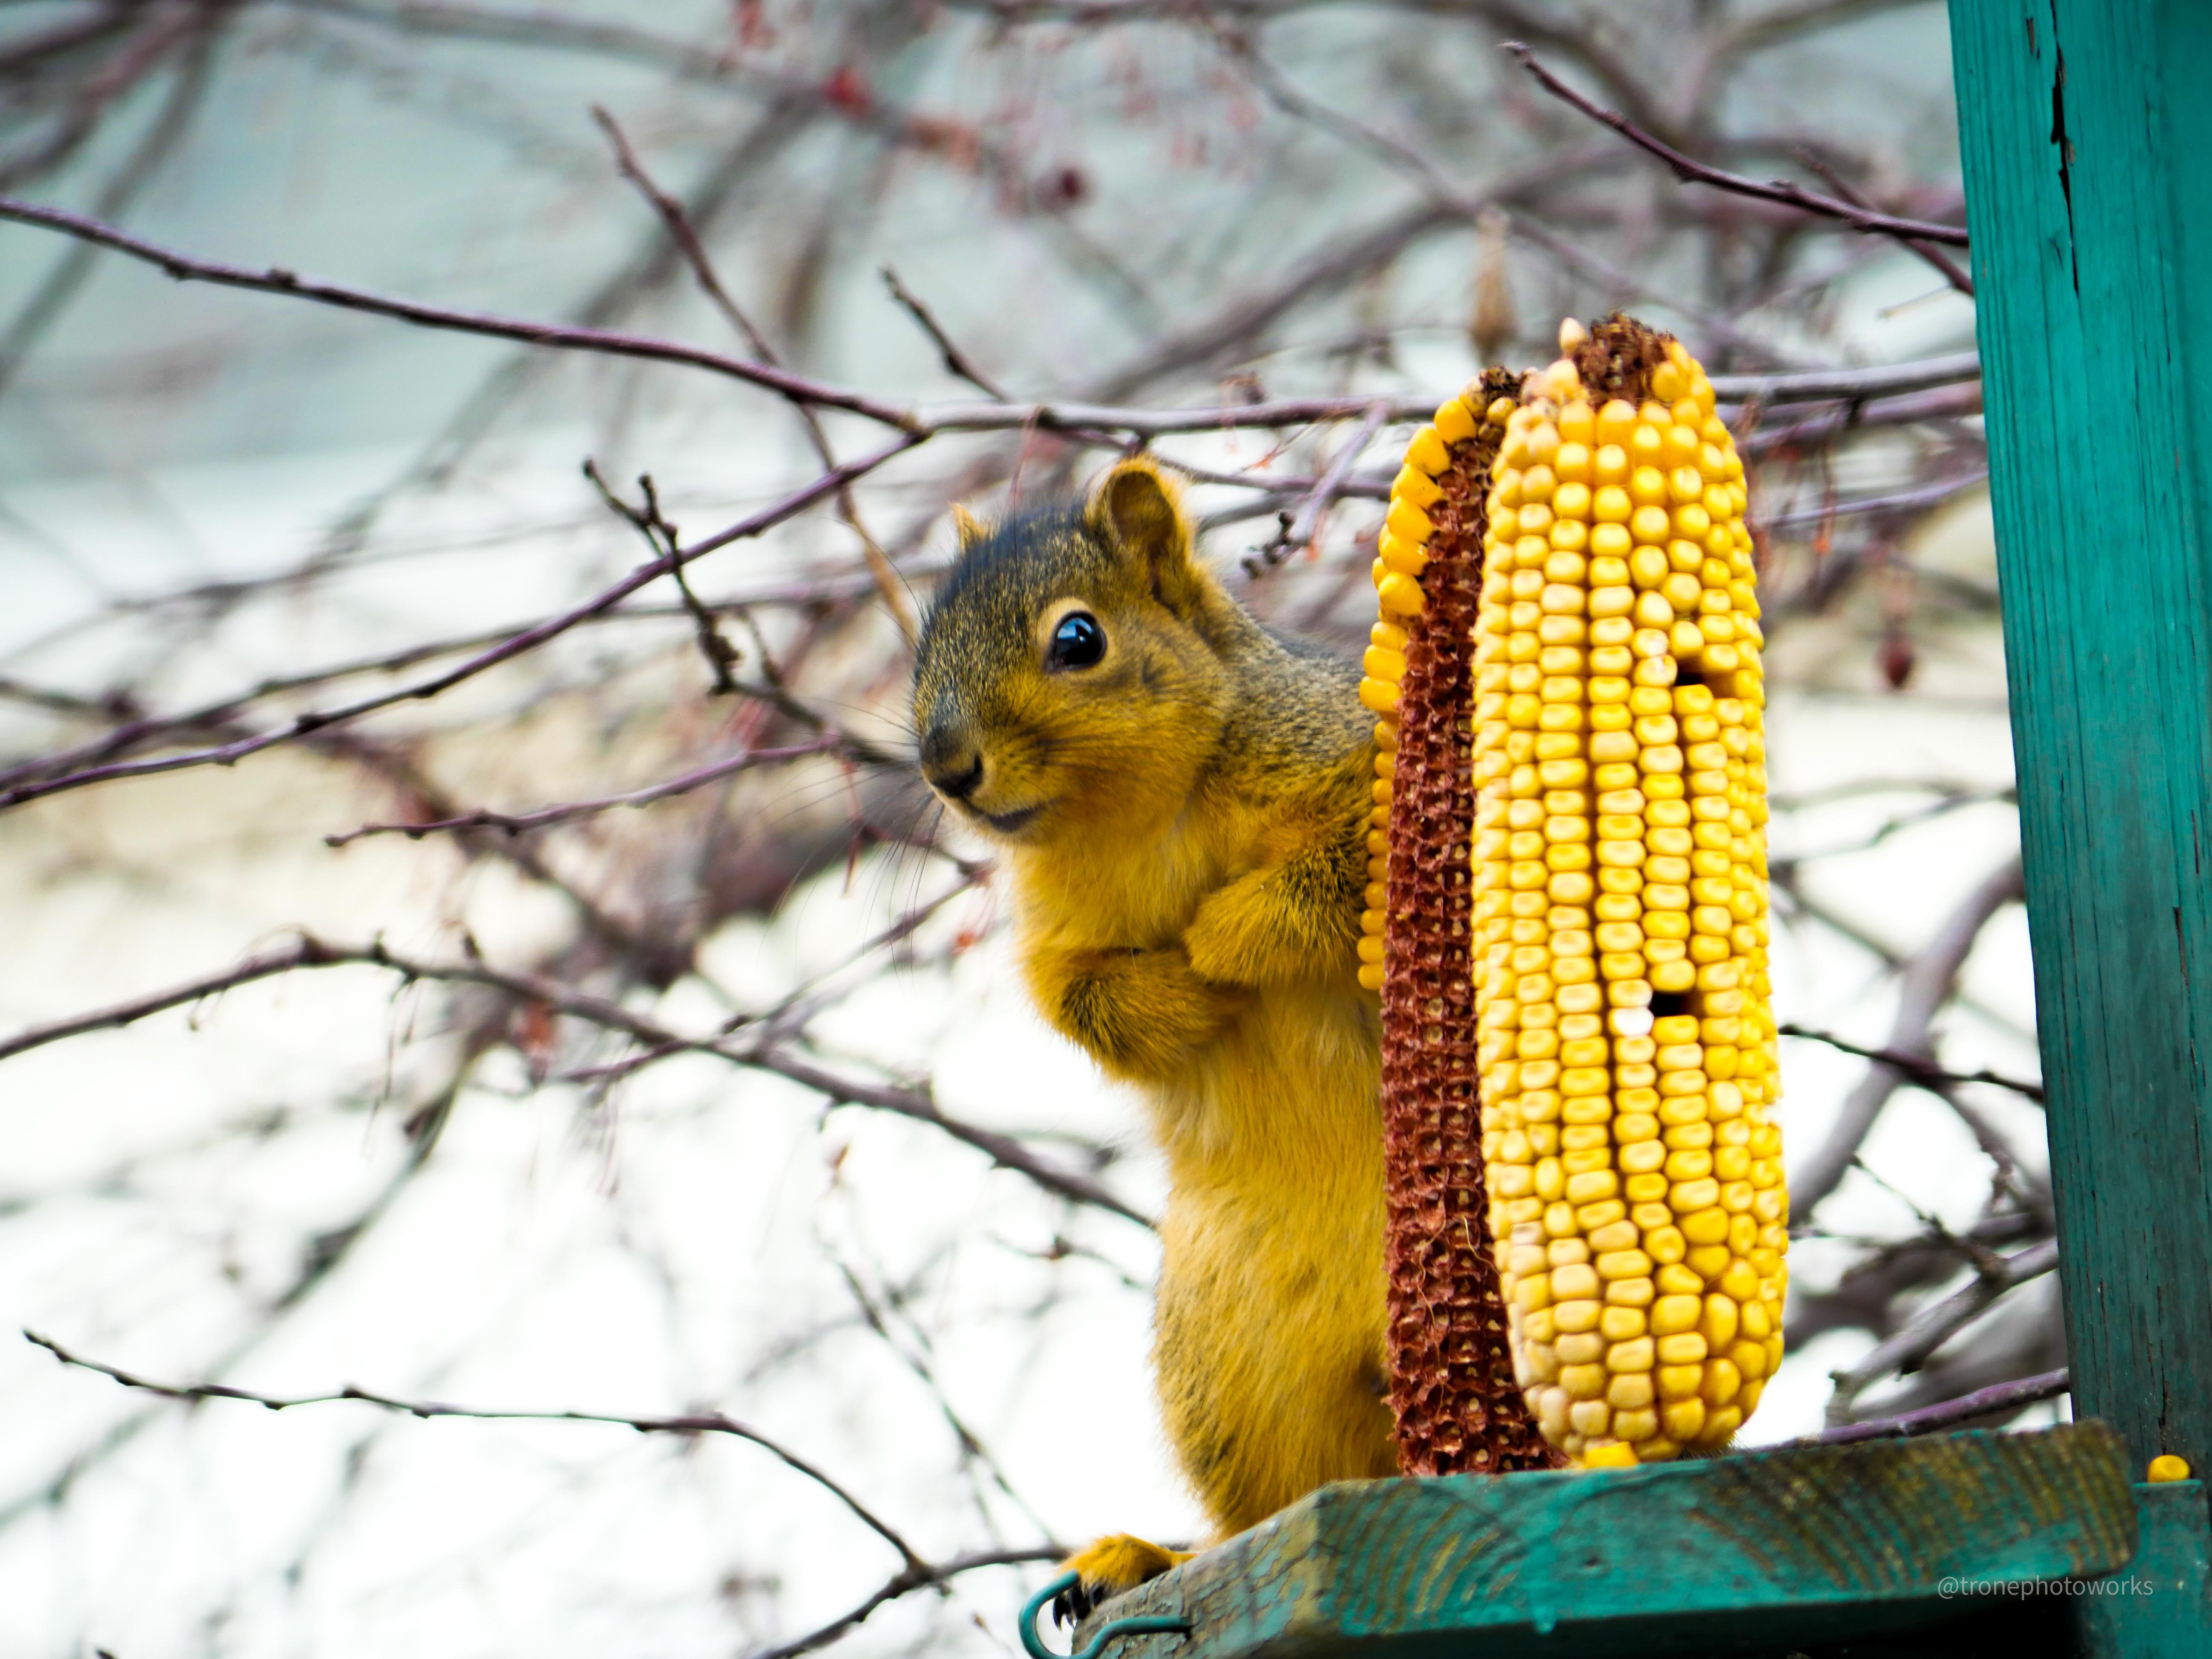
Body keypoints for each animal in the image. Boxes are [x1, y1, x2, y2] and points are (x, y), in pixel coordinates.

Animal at [911, 457, 1392, 1614]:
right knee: (1274, 1504)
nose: (946, 766)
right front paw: (1187, 993)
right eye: (923, 639)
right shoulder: (1055, 941)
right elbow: (1087, 1004)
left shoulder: (1368, 777)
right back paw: (1150, 1559)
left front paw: (1224, 939)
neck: (1131, 813)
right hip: (1231, 1382)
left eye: (1078, 639)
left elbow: (1340, 876)